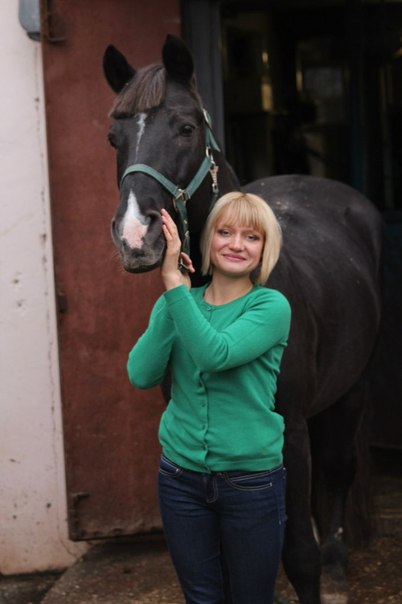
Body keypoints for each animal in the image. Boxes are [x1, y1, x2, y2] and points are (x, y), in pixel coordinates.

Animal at [103, 35, 382, 604]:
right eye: (113, 137)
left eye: (185, 128)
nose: (135, 235)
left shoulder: (290, 433)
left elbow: (298, 556)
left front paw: (319, 569)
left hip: (352, 389)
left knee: (339, 469)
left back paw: (338, 568)